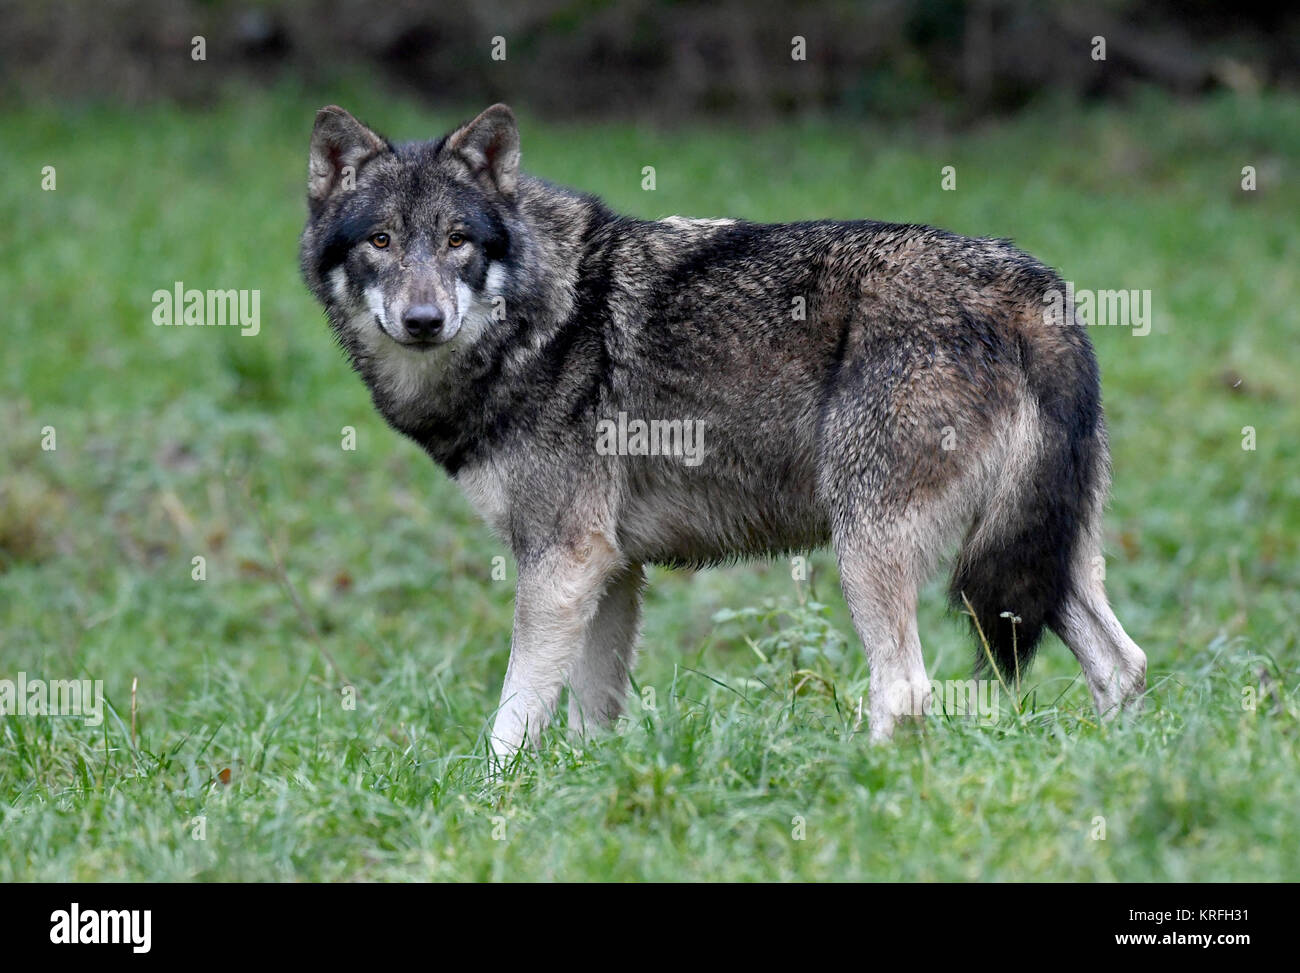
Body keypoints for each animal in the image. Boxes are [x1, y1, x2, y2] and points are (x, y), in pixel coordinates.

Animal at [299, 103, 1147, 760]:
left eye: (458, 241)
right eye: (380, 241)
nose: (423, 319)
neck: (546, 317)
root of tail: (1031, 290)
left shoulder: (563, 562)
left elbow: (511, 724)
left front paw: (493, 806)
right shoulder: (612, 571)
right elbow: (590, 719)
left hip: (874, 550)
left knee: (906, 692)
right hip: (1037, 556)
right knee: (1125, 665)